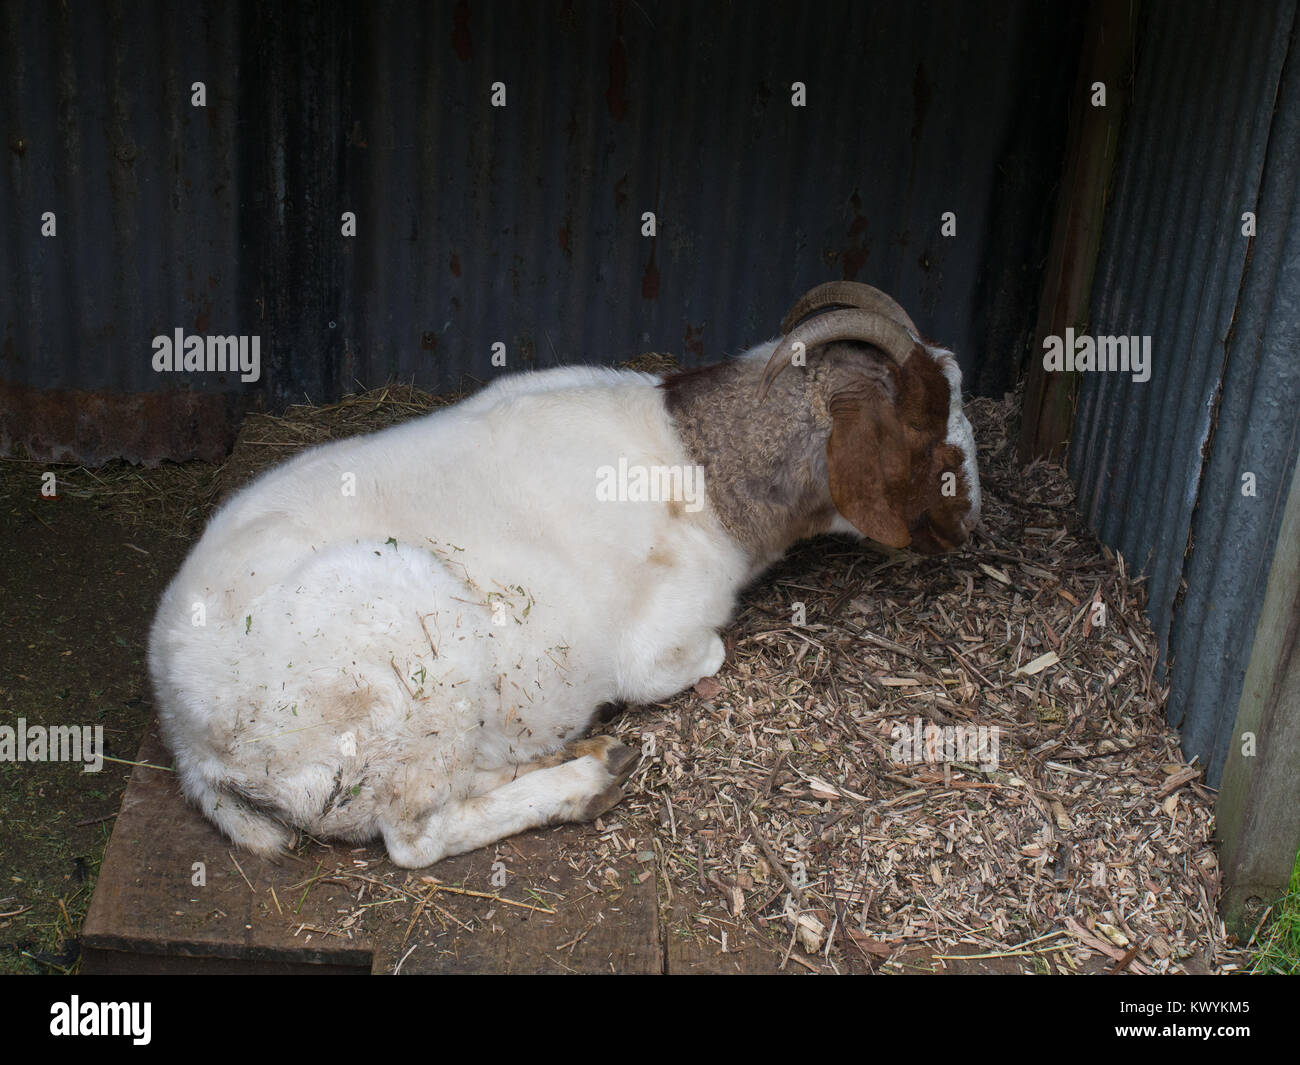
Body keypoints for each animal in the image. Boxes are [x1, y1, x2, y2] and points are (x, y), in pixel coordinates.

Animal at [147, 282, 980, 868]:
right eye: (927, 421)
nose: (970, 519)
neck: (702, 467)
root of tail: (187, 734)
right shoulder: (661, 644)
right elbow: (705, 654)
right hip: (407, 667)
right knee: (417, 834)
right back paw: (584, 783)